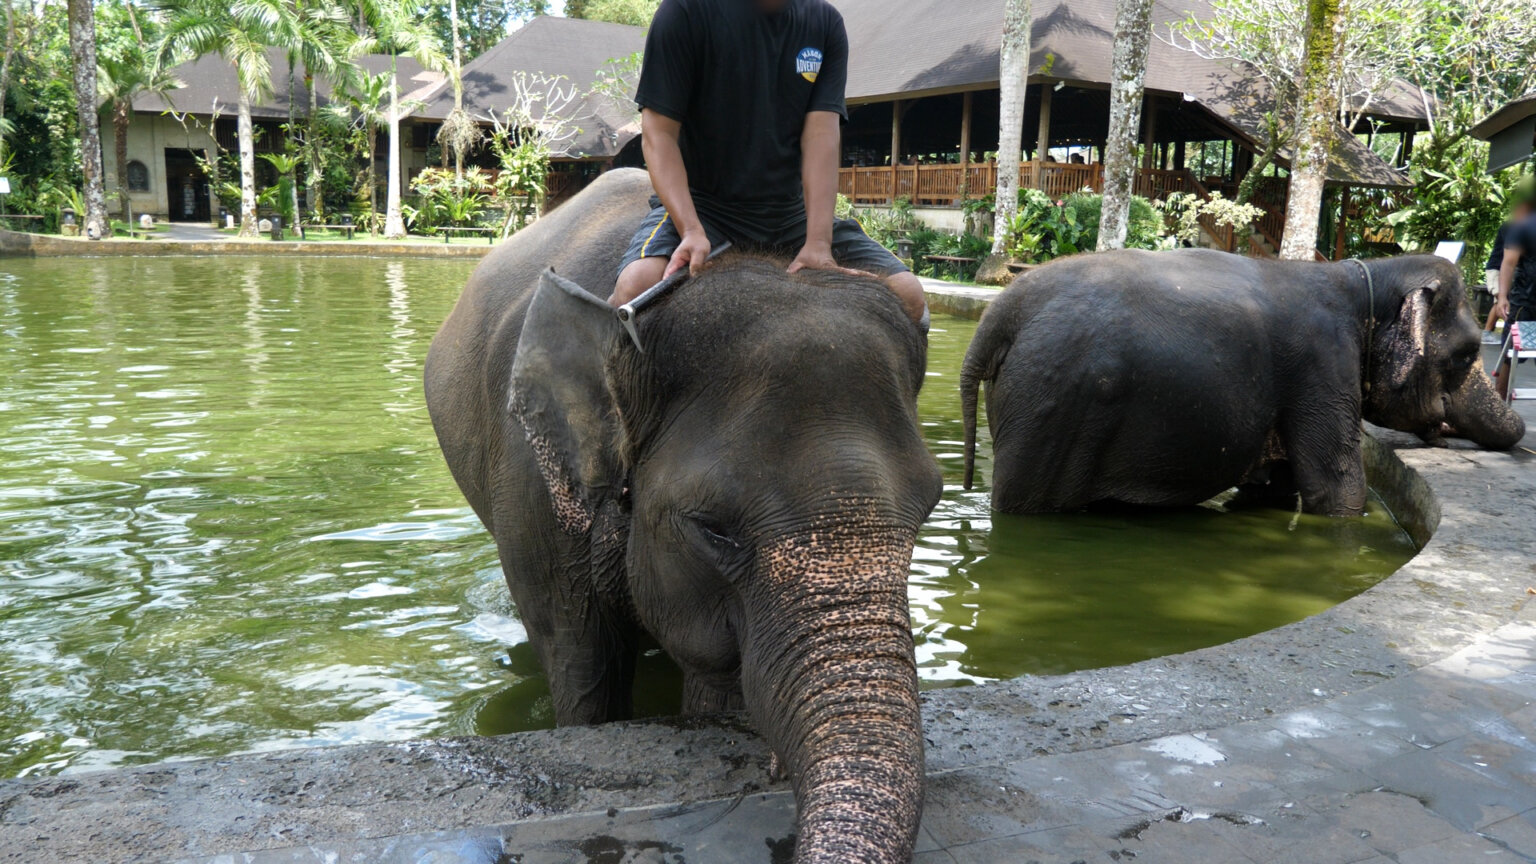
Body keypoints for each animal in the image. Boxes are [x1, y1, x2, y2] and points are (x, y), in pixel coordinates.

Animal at [960, 250, 1525, 516]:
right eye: (1467, 353)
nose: (1521, 431)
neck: (1368, 276)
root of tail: (1001, 313)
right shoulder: (1324, 364)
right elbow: (1335, 490)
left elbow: (1273, 487)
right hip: (1048, 408)